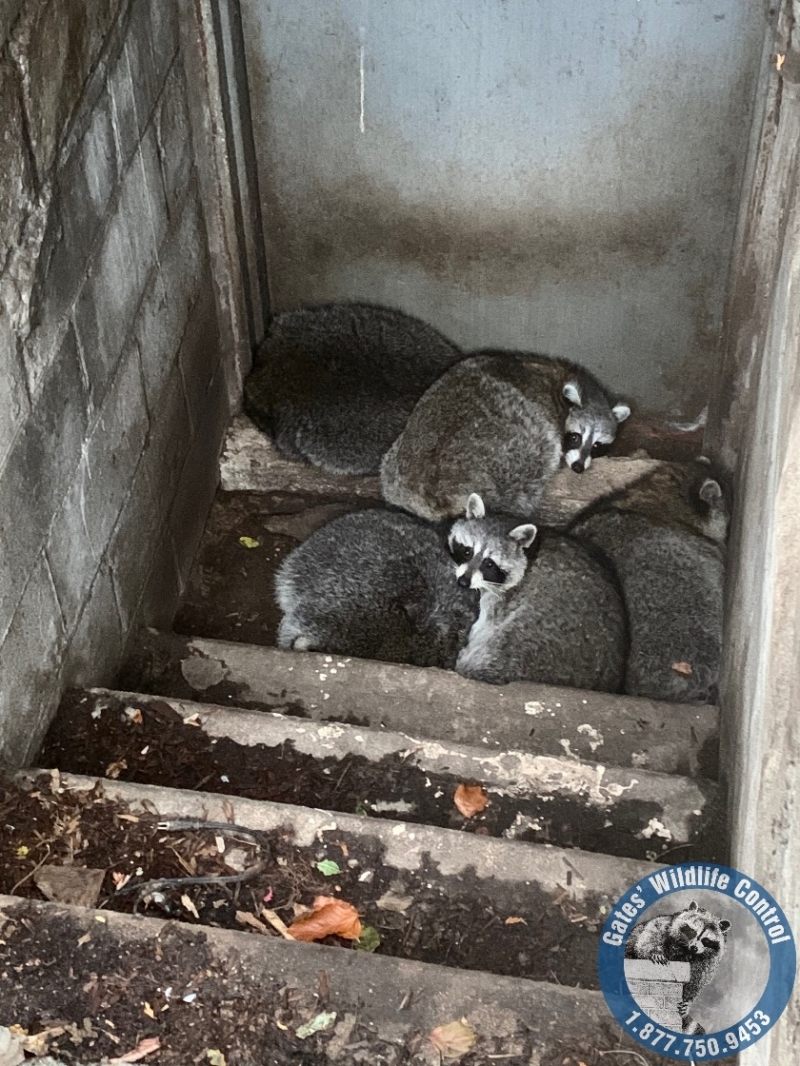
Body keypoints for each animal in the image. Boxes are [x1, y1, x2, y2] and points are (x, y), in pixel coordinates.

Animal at [448, 494, 627, 690]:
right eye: (467, 551)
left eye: (489, 564)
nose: (463, 582)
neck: (530, 552)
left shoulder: (502, 598)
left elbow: (485, 622)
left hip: (529, 639)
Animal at [625, 901, 731, 1033]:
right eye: (692, 932)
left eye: (706, 940)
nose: (694, 947)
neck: (686, 950)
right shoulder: (665, 924)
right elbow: (649, 936)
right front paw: (654, 951)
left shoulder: (709, 961)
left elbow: (697, 981)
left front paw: (688, 1001)